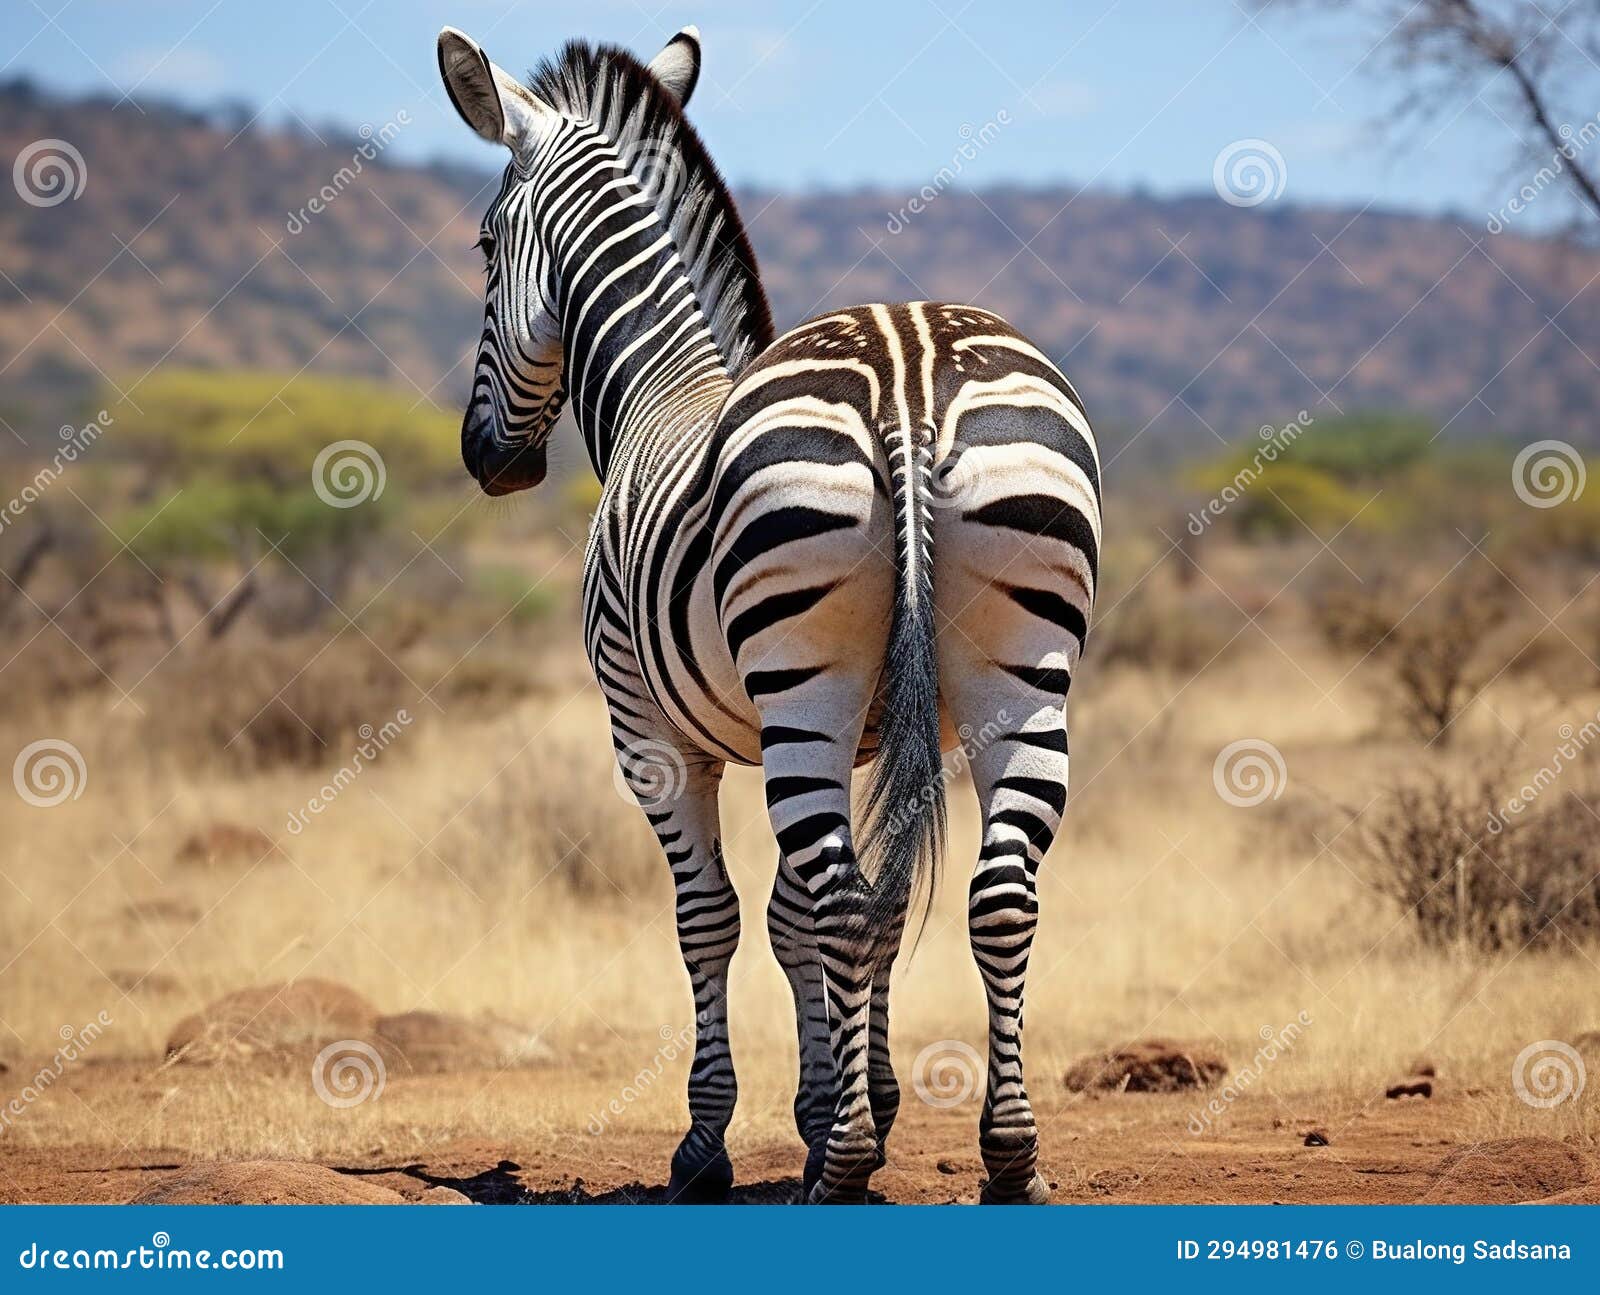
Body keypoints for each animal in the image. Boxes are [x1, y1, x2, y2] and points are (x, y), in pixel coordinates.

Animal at [437, 24, 1100, 1204]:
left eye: (482, 246)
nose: (489, 461)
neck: (660, 390)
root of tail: (906, 372)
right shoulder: (885, 732)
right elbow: (860, 911)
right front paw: (850, 1099)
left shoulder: (652, 737)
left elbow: (720, 919)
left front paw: (723, 1138)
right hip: (1011, 678)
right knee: (994, 892)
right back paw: (1008, 1153)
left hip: (803, 689)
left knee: (837, 898)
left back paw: (840, 1168)